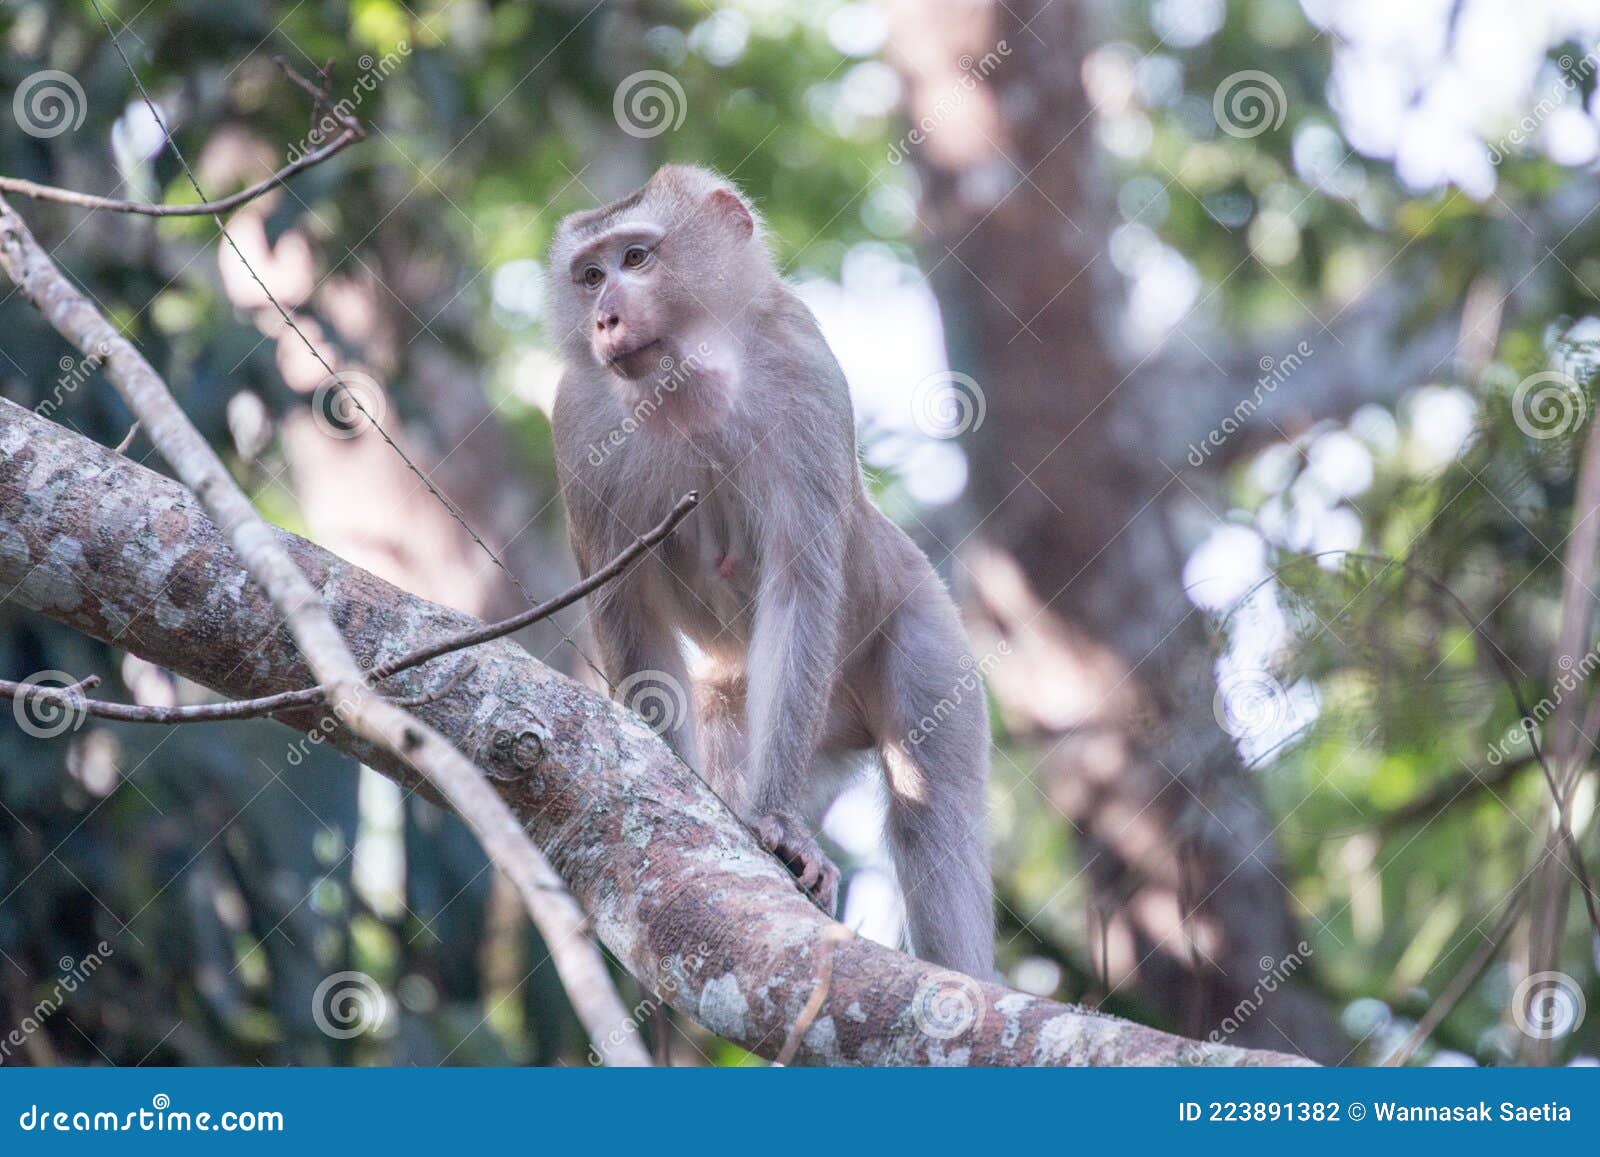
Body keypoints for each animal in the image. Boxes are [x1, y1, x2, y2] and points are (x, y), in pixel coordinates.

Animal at [546, 165, 993, 978]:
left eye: (636, 259)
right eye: (589, 276)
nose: (604, 318)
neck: (686, 381)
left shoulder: (803, 368)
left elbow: (799, 584)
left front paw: (782, 823)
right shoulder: (579, 418)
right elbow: (628, 611)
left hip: (922, 628)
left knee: (933, 808)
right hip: (736, 696)